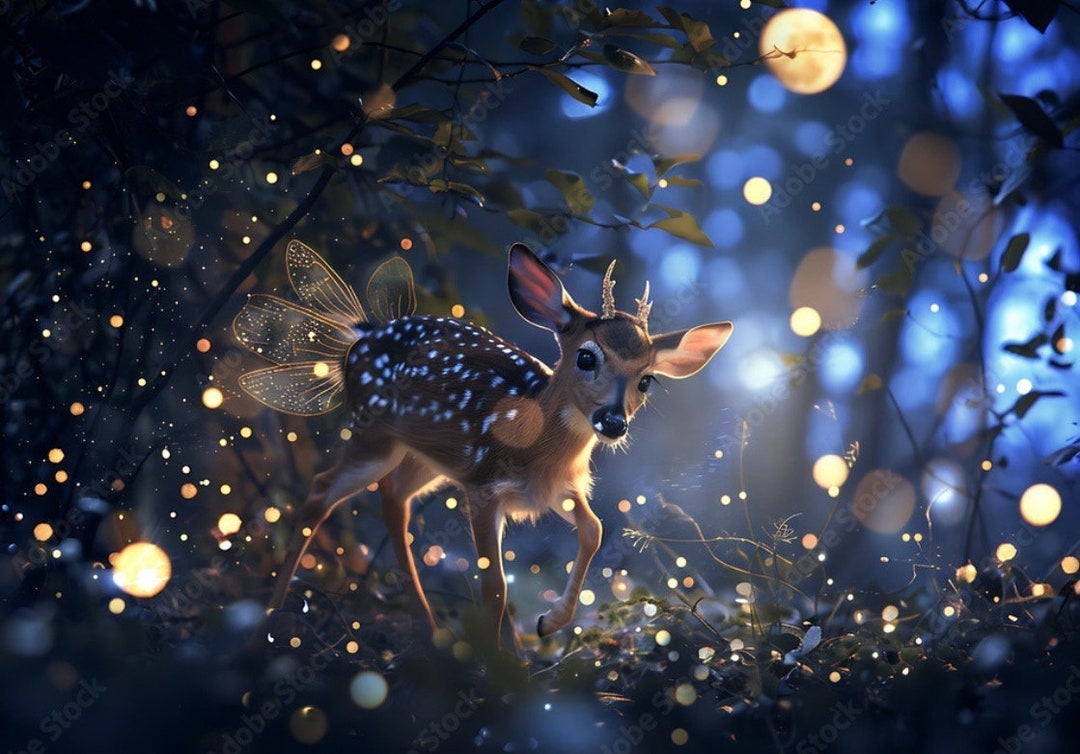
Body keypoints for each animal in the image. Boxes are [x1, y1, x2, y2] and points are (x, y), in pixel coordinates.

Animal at [233, 239, 732, 646]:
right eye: (587, 357)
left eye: (646, 380)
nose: (613, 421)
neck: (538, 448)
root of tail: (359, 335)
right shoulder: (483, 485)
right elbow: (496, 587)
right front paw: (504, 671)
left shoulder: (553, 489)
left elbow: (594, 530)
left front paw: (547, 624)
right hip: (374, 433)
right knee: (322, 489)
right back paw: (265, 623)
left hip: (427, 457)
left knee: (394, 497)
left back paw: (431, 630)